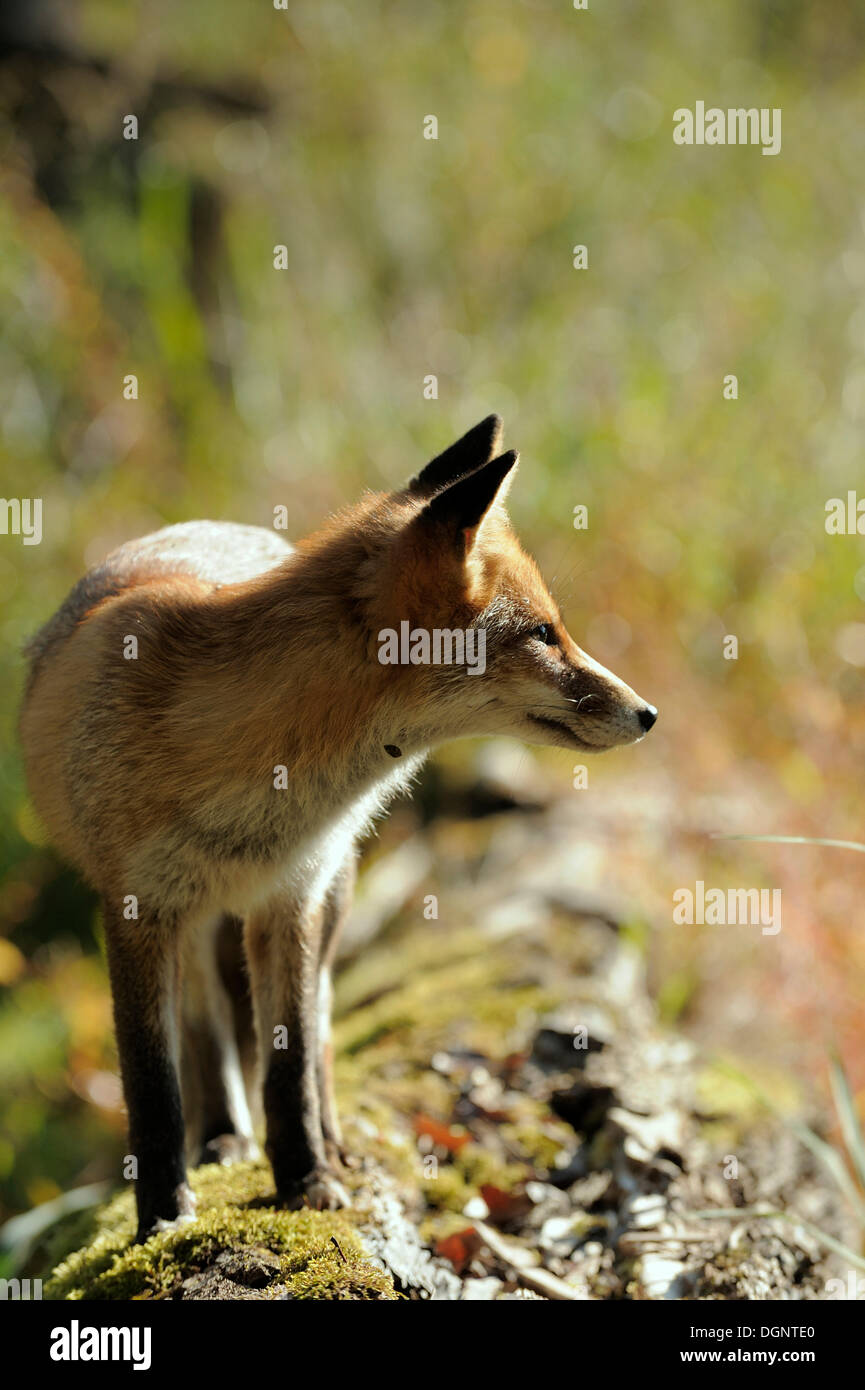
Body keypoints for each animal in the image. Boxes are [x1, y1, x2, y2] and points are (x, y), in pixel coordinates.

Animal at [19, 415, 657, 1241]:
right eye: (543, 634)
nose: (647, 713)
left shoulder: (290, 896)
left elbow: (290, 1063)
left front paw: (306, 1179)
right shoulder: (135, 909)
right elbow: (152, 1082)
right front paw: (162, 1214)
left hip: (330, 893)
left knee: (319, 1020)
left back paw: (325, 1141)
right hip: (196, 918)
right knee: (206, 1026)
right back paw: (221, 1136)